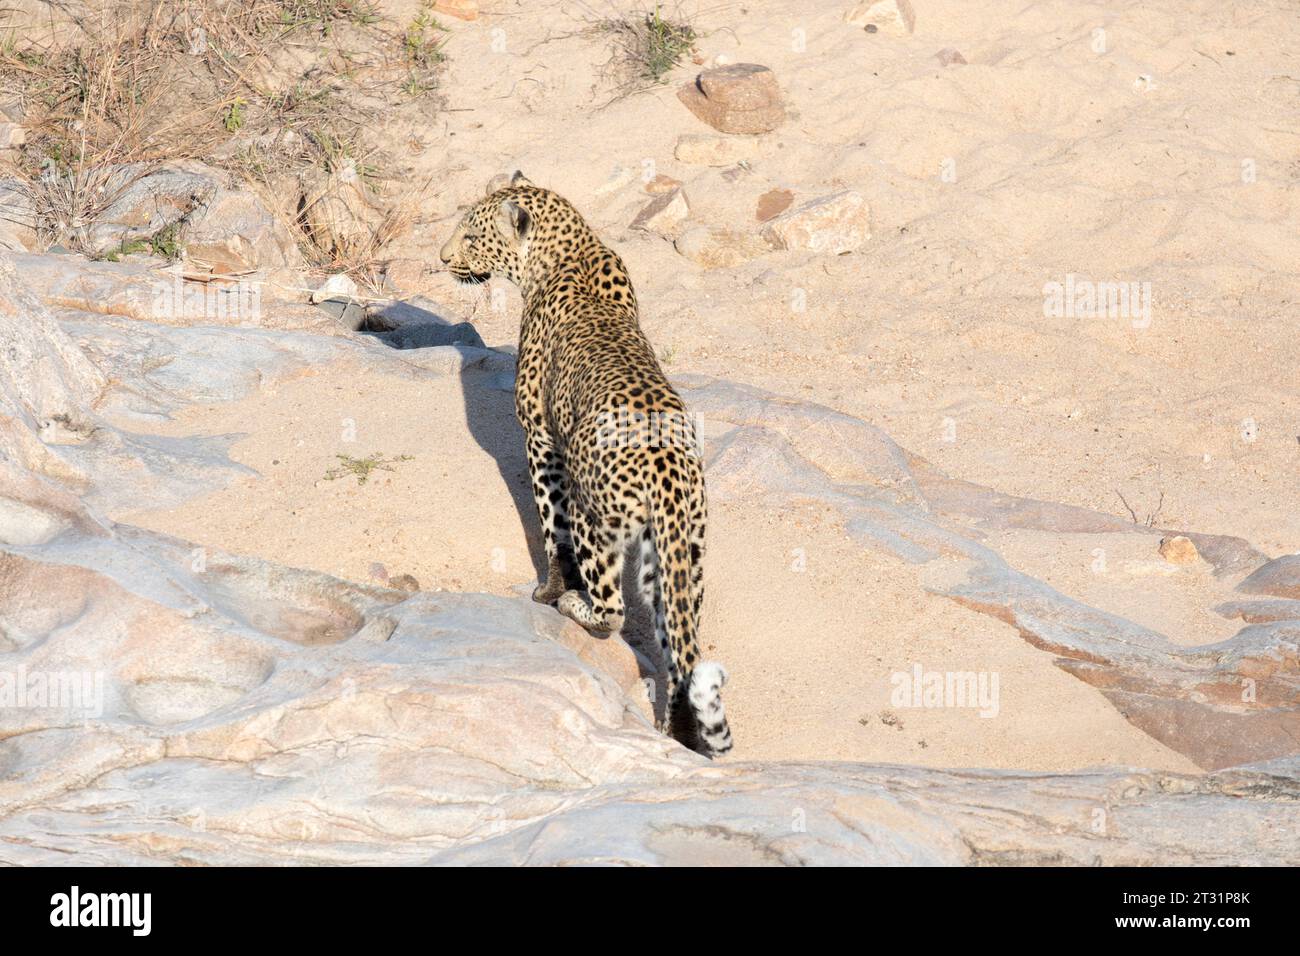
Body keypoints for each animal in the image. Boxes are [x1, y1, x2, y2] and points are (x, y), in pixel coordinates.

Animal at [438, 171, 732, 757]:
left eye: (471, 236)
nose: (442, 258)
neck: (572, 248)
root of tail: (668, 469)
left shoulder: (541, 439)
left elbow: (550, 527)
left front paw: (550, 590)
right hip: (681, 551)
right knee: (679, 642)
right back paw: (678, 730)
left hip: (598, 518)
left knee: (612, 607)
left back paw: (576, 607)